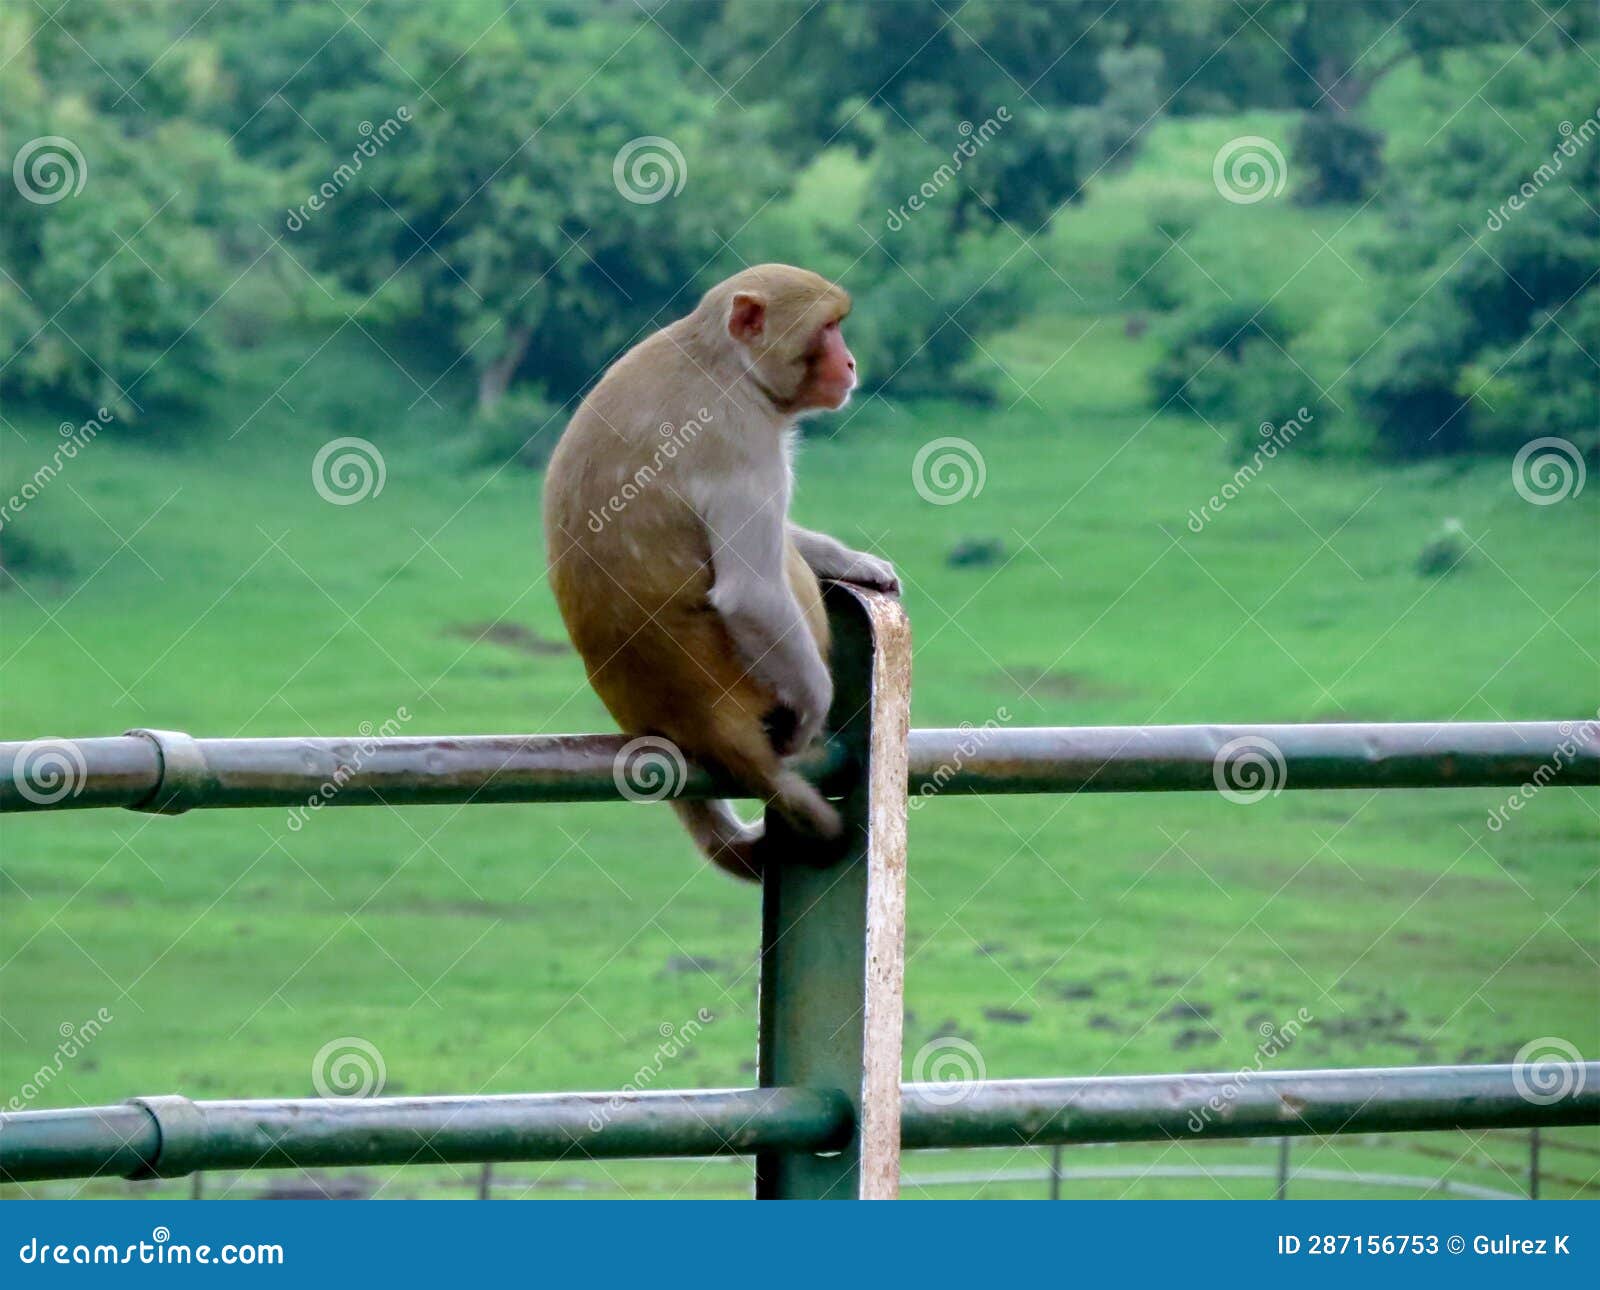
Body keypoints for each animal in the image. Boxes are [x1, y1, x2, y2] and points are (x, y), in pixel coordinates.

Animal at [543, 264, 898, 881]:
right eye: (828, 329)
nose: (852, 363)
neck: (723, 362)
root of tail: (697, 719)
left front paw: (852, 560)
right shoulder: (741, 437)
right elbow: (749, 593)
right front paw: (814, 707)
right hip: (746, 684)